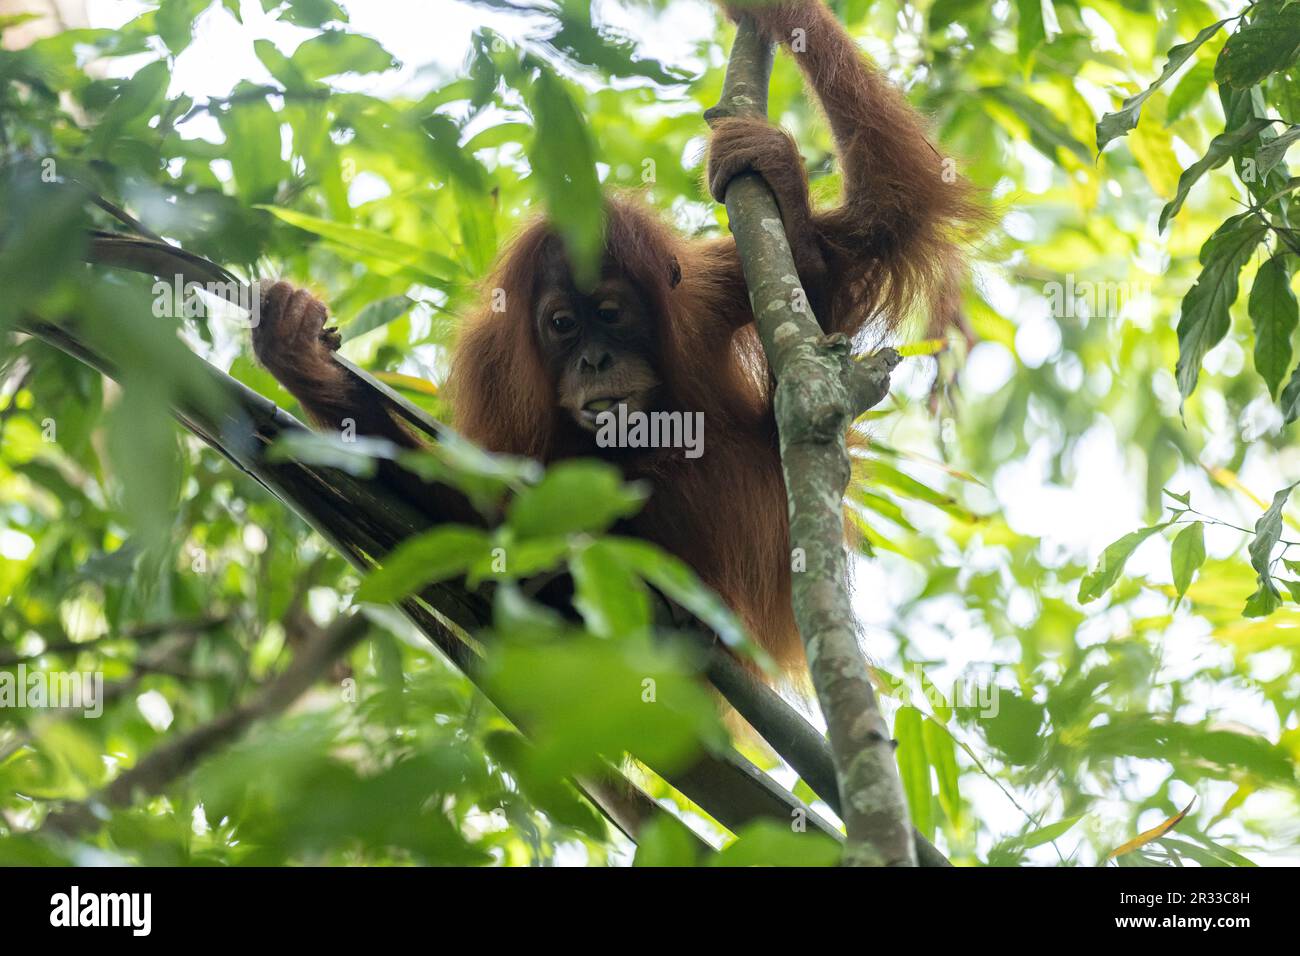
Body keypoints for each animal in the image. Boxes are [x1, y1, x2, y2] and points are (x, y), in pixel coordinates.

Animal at [252, 0, 982, 682]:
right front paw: (299, 352)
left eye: (609, 312)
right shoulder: (491, 367)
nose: (595, 358)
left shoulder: (711, 287)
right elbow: (482, 522)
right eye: (562, 325)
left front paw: (780, 145)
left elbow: (888, 216)